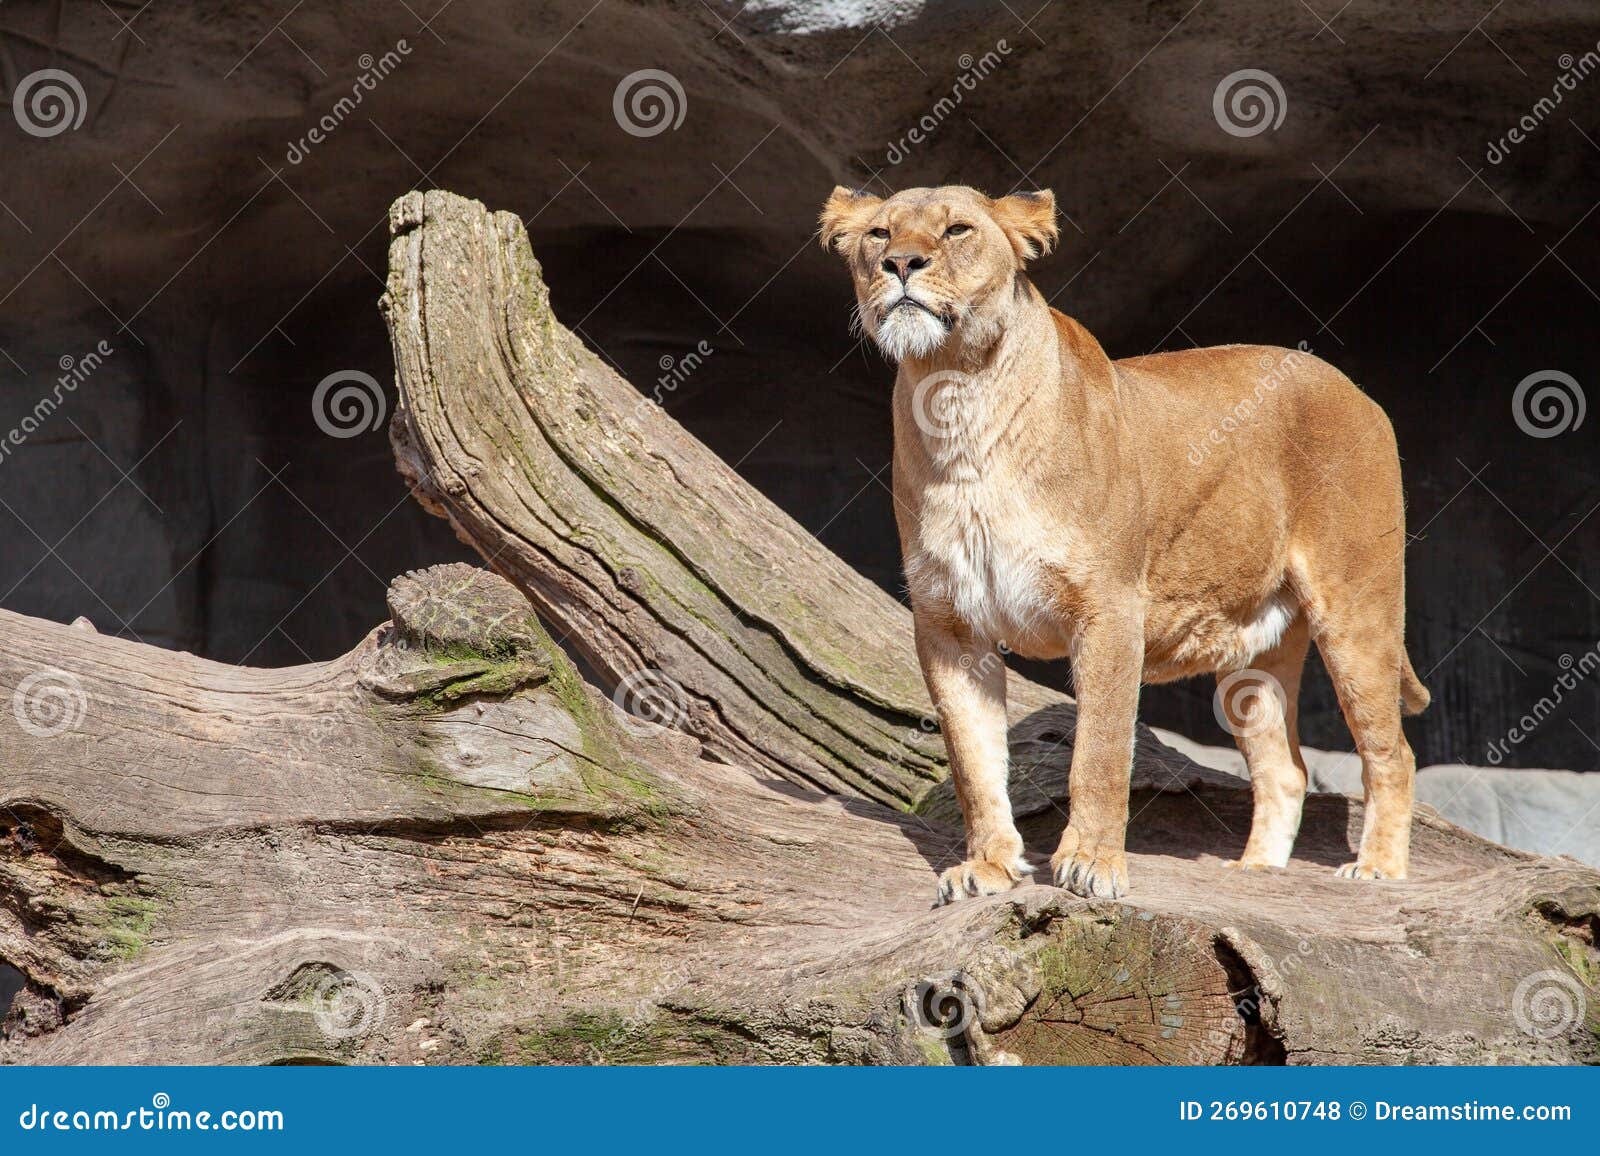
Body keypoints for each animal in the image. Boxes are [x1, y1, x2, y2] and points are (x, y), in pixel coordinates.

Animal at [819, 184, 1428, 903]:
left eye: (958, 230)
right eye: (880, 233)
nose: (901, 264)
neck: (956, 399)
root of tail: (1359, 391)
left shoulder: (1109, 608)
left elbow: (1100, 751)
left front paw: (1091, 864)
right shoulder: (948, 625)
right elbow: (973, 762)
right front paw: (988, 867)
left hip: (1357, 607)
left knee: (1392, 751)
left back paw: (1378, 869)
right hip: (1254, 651)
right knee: (1285, 768)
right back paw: (1256, 871)